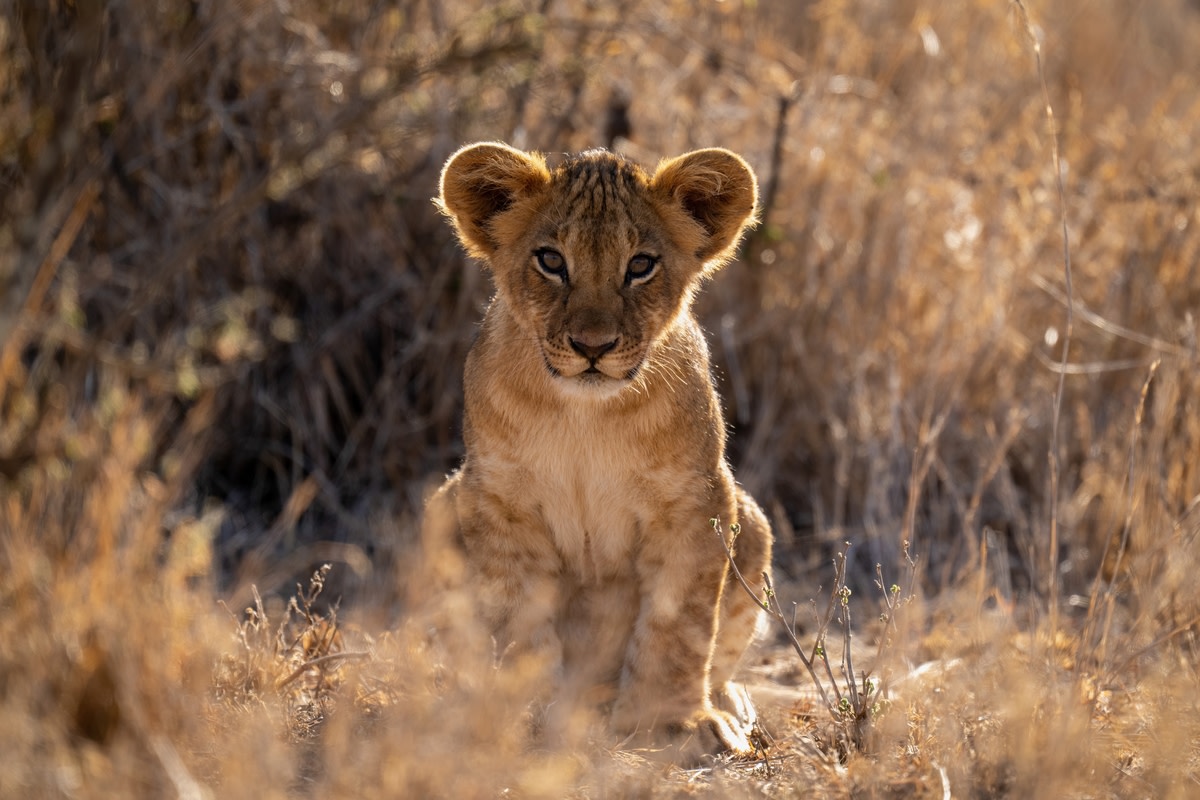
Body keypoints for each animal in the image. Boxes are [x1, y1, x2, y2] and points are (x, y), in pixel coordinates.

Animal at [422, 141, 773, 763]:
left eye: (640, 266)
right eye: (550, 261)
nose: (592, 346)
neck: (585, 417)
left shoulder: (696, 502)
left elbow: (678, 626)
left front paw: (673, 722)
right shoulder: (496, 499)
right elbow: (519, 619)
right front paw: (525, 715)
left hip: (751, 522)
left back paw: (727, 705)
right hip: (445, 504)